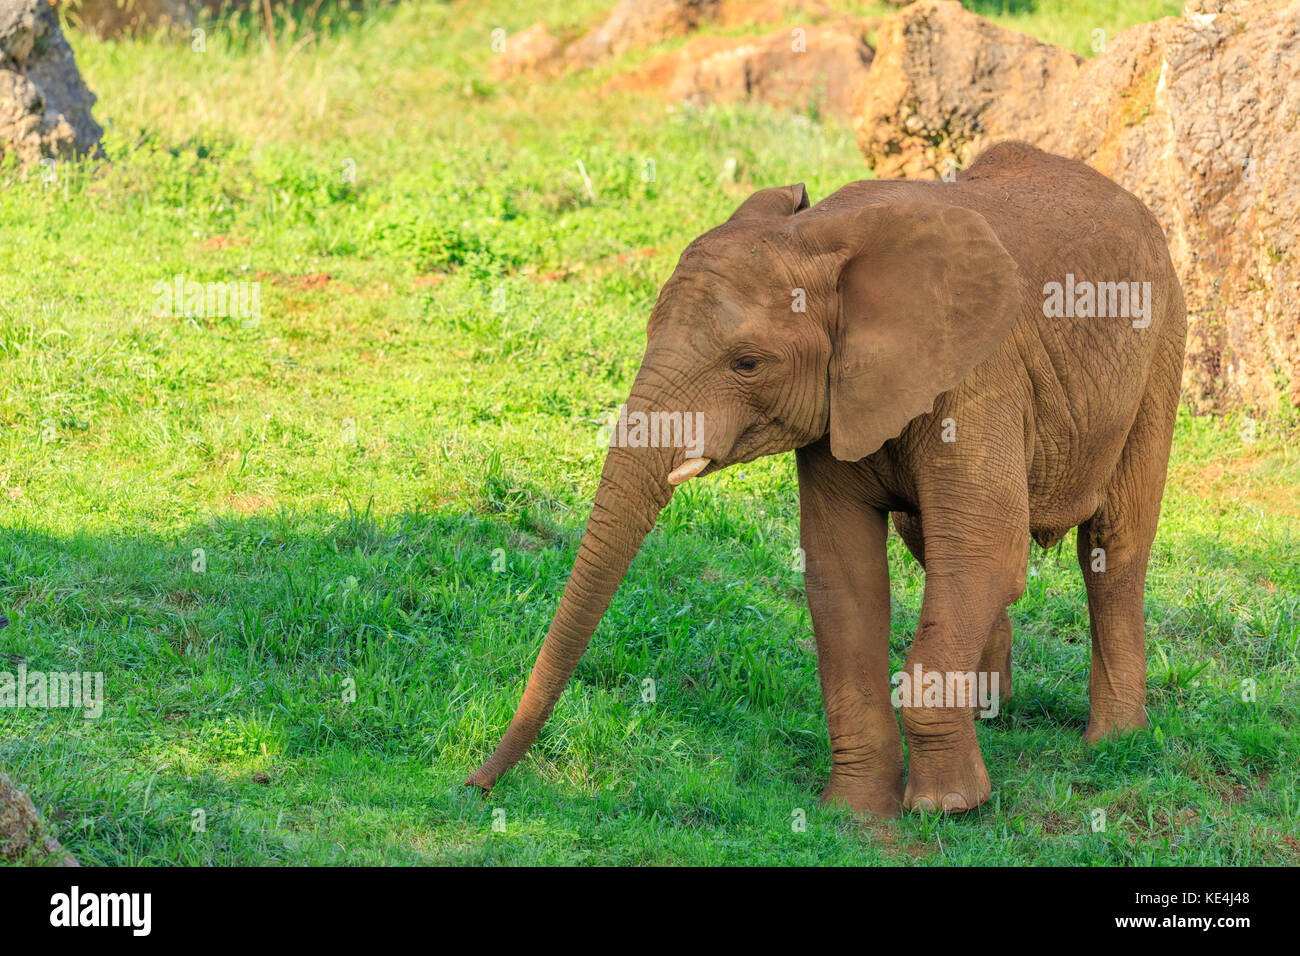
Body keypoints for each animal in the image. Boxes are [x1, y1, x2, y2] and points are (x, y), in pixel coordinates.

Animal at [467, 141, 1187, 816]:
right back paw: (993, 713)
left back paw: (1114, 742)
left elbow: (984, 550)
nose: (474, 785)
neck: (820, 239)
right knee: (932, 543)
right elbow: (846, 573)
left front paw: (948, 808)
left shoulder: (981, 376)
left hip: (1161, 347)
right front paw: (856, 811)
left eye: (748, 364)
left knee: (1113, 548)